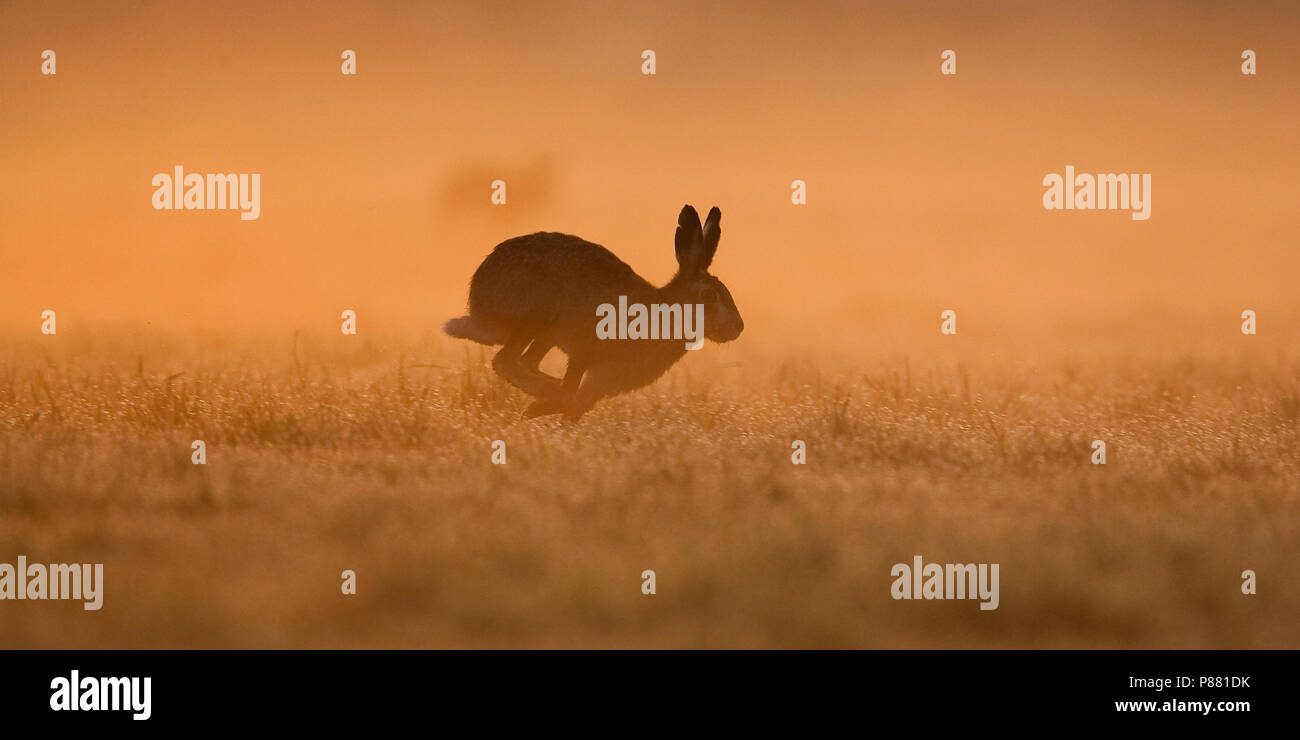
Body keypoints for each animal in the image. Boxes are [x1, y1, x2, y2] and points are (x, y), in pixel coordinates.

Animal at [444, 204, 743, 421]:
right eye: (709, 296)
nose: (738, 328)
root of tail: (479, 307)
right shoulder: (584, 354)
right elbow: (572, 394)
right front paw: (541, 408)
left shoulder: (599, 382)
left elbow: (575, 411)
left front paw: (545, 416)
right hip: (538, 313)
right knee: (505, 361)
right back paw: (549, 393)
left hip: (545, 334)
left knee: (526, 362)